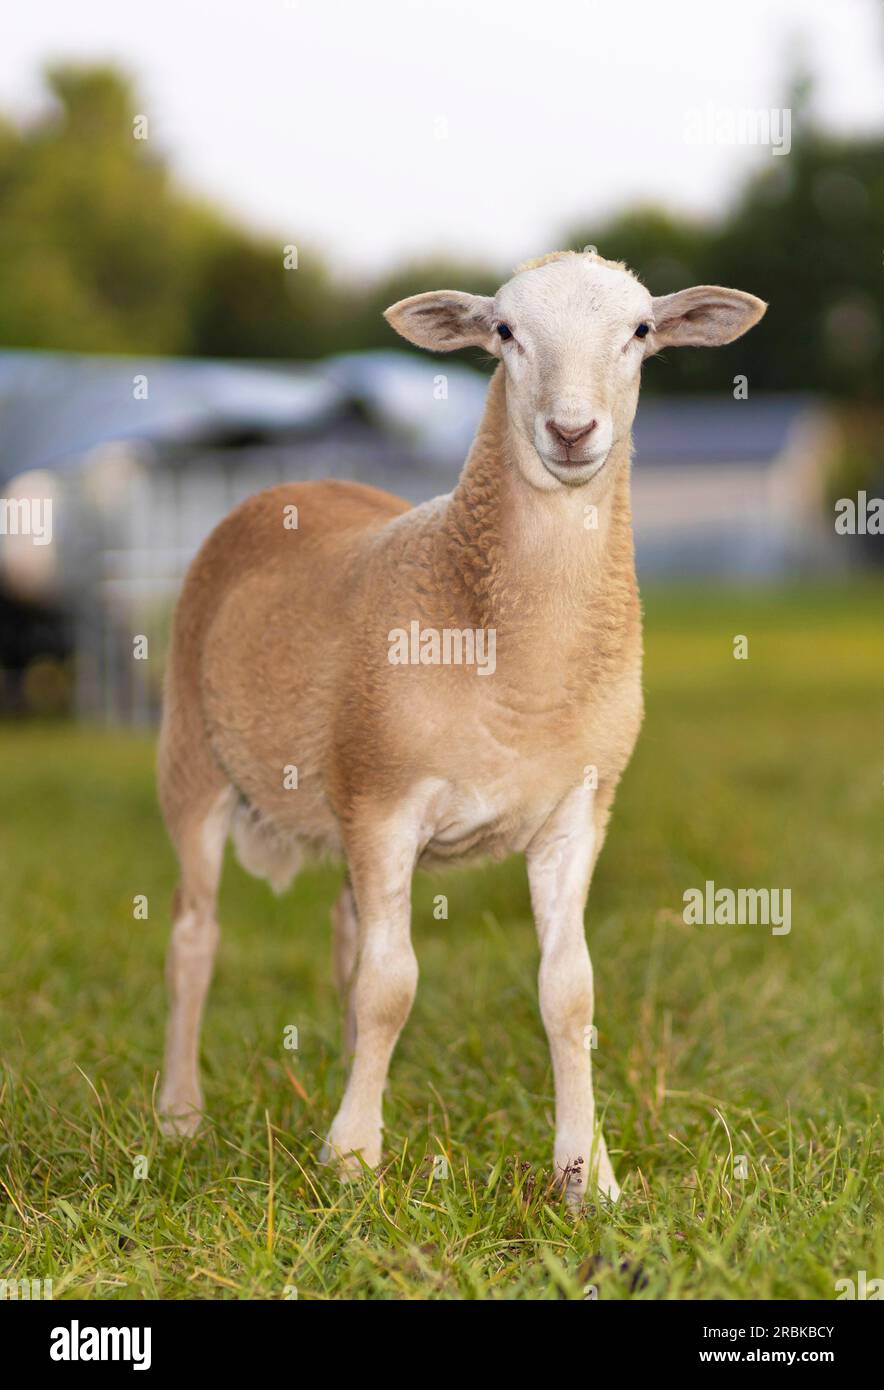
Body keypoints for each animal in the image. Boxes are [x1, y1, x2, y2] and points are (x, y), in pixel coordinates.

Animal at [157, 249, 766, 1201]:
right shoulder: (385, 803)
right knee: (195, 936)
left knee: (344, 935)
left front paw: (587, 1175)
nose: (571, 431)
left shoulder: (576, 810)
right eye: (505, 333)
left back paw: (341, 1079)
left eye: (640, 332)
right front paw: (355, 1162)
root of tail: (294, 485)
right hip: (194, 756)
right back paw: (180, 1116)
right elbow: (392, 985)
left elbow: (568, 991)